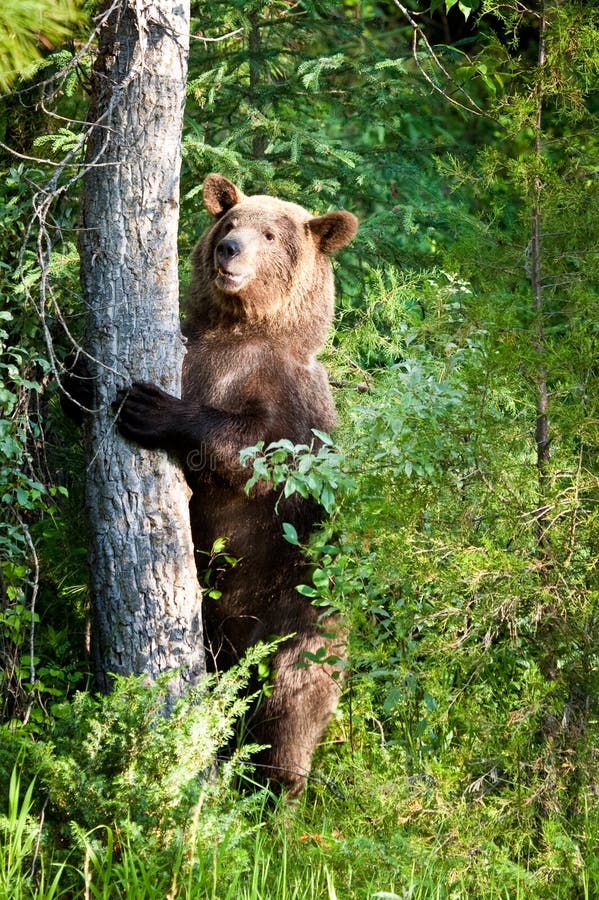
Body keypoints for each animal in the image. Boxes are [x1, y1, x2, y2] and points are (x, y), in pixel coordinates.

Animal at [110, 174, 358, 796]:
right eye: (229, 222)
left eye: (270, 235)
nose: (230, 250)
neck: (241, 330)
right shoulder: (193, 351)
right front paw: (79, 376)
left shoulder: (288, 402)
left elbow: (252, 449)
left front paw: (150, 408)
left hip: (298, 608)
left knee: (293, 698)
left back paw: (281, 787)